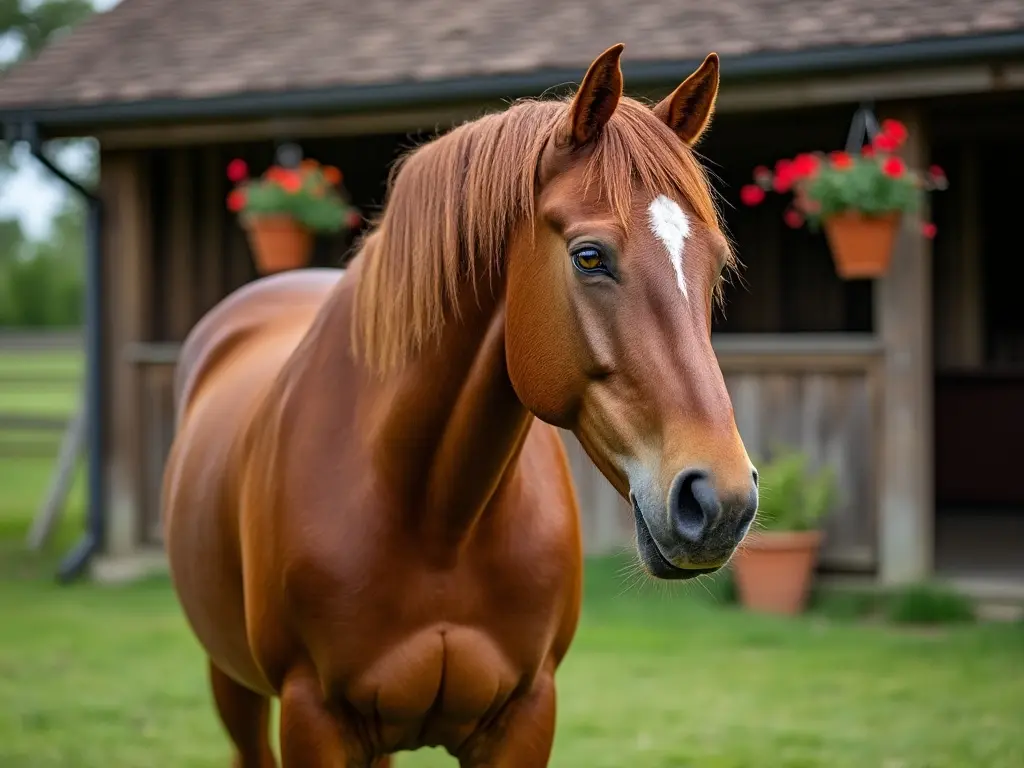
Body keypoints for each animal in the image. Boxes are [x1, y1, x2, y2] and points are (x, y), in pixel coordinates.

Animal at [163, 43, 758, 767]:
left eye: (716, 266)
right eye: (590, 257)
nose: (722, 502)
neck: (437, 518)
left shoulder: (526, 714)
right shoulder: (313, 719)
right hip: (233, 681)